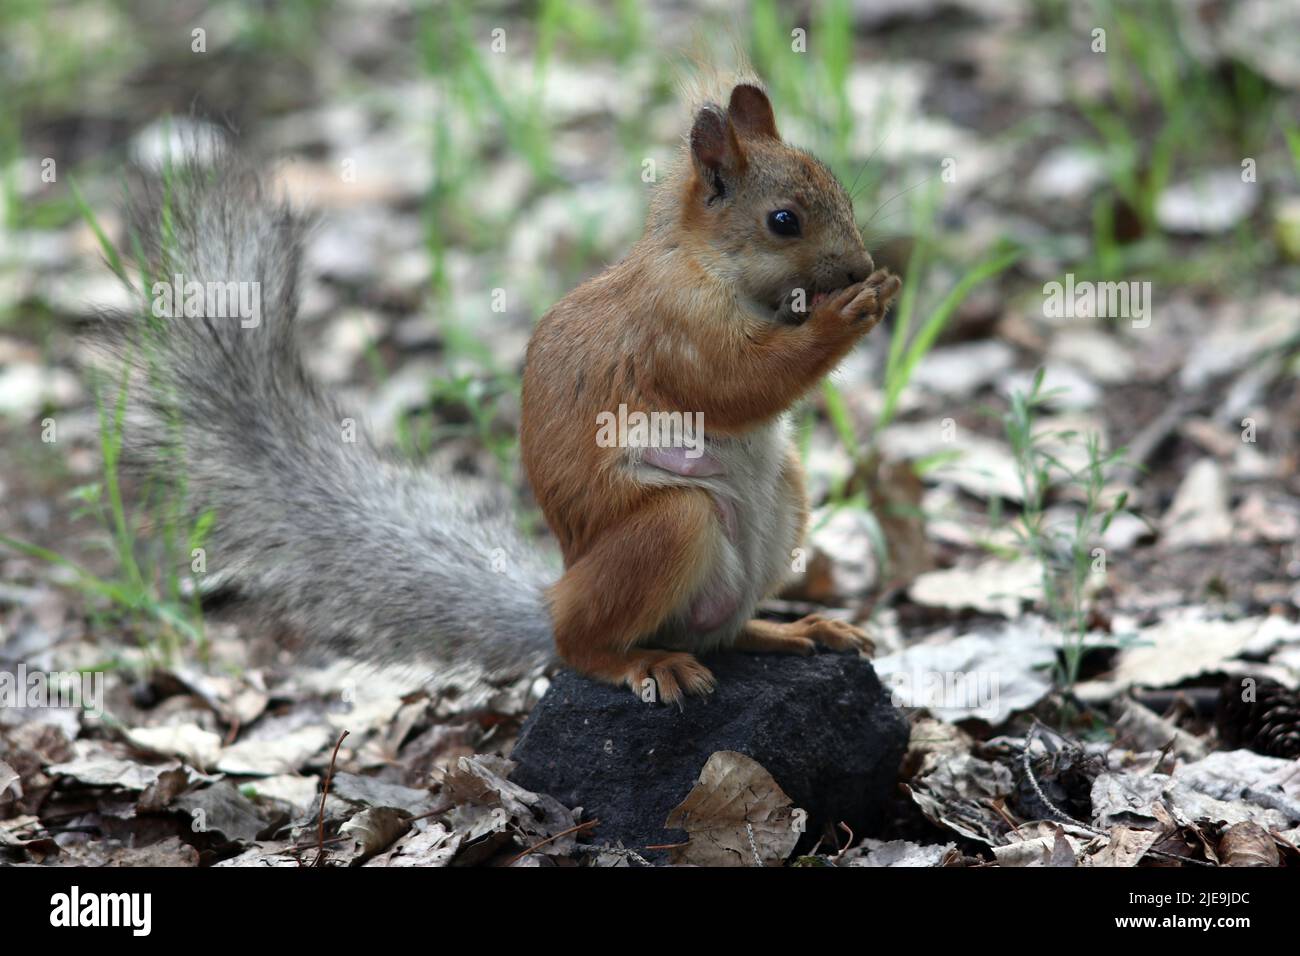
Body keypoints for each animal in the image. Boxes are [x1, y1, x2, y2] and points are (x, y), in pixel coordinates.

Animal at [100, 80, 899, 704]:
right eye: (782, 221)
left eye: (839, 191)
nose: (860, 267)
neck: (707, 265)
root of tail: (554, 597)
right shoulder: (674, 330)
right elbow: (738, 384)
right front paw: (847, 313)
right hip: (667, 529)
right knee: (588, 642)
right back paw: (645, 663)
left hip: (785, 497)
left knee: (725, 634)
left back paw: (793, 628)